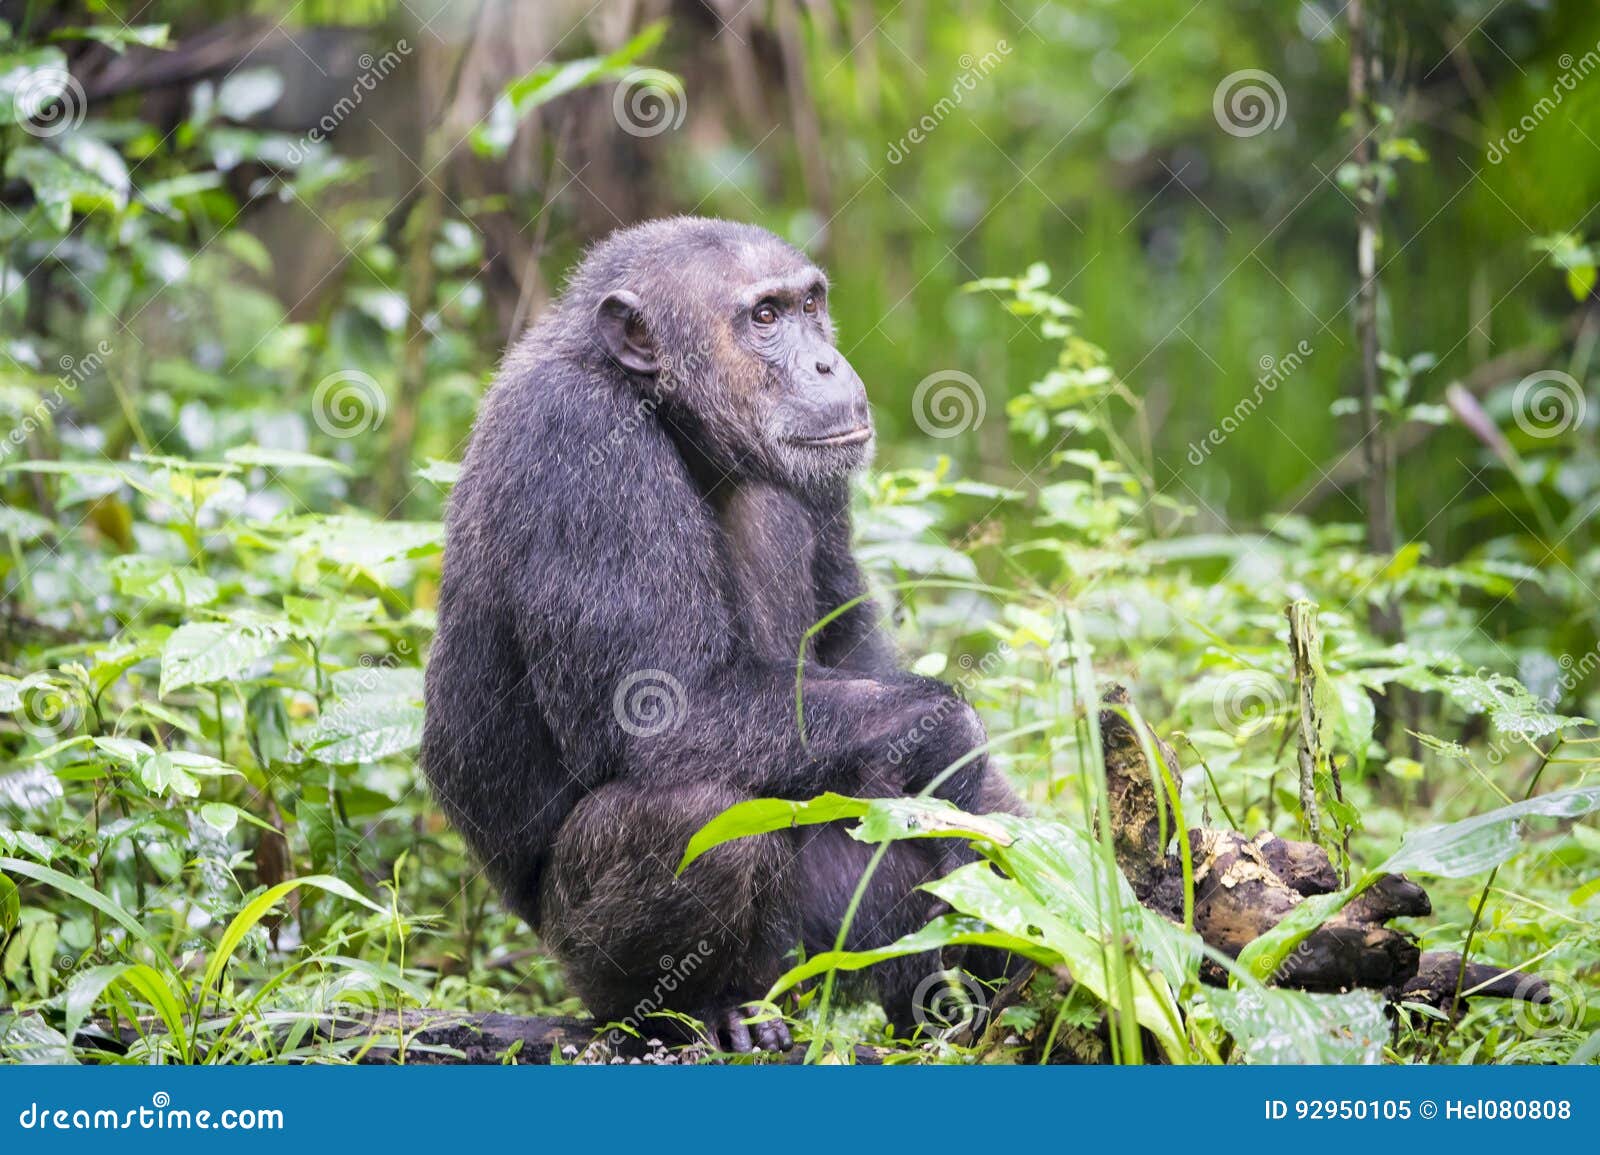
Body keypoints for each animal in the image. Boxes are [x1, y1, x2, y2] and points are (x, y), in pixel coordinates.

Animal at [422, 217, 1023, 1052]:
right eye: (764, 317)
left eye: (809, 304)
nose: (825, 359)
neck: (674, 417)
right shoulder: (580, 443)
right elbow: (664, 709)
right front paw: (950, 732)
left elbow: (853, 652)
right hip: (595, 965)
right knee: (695, 815)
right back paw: (704, 1010)